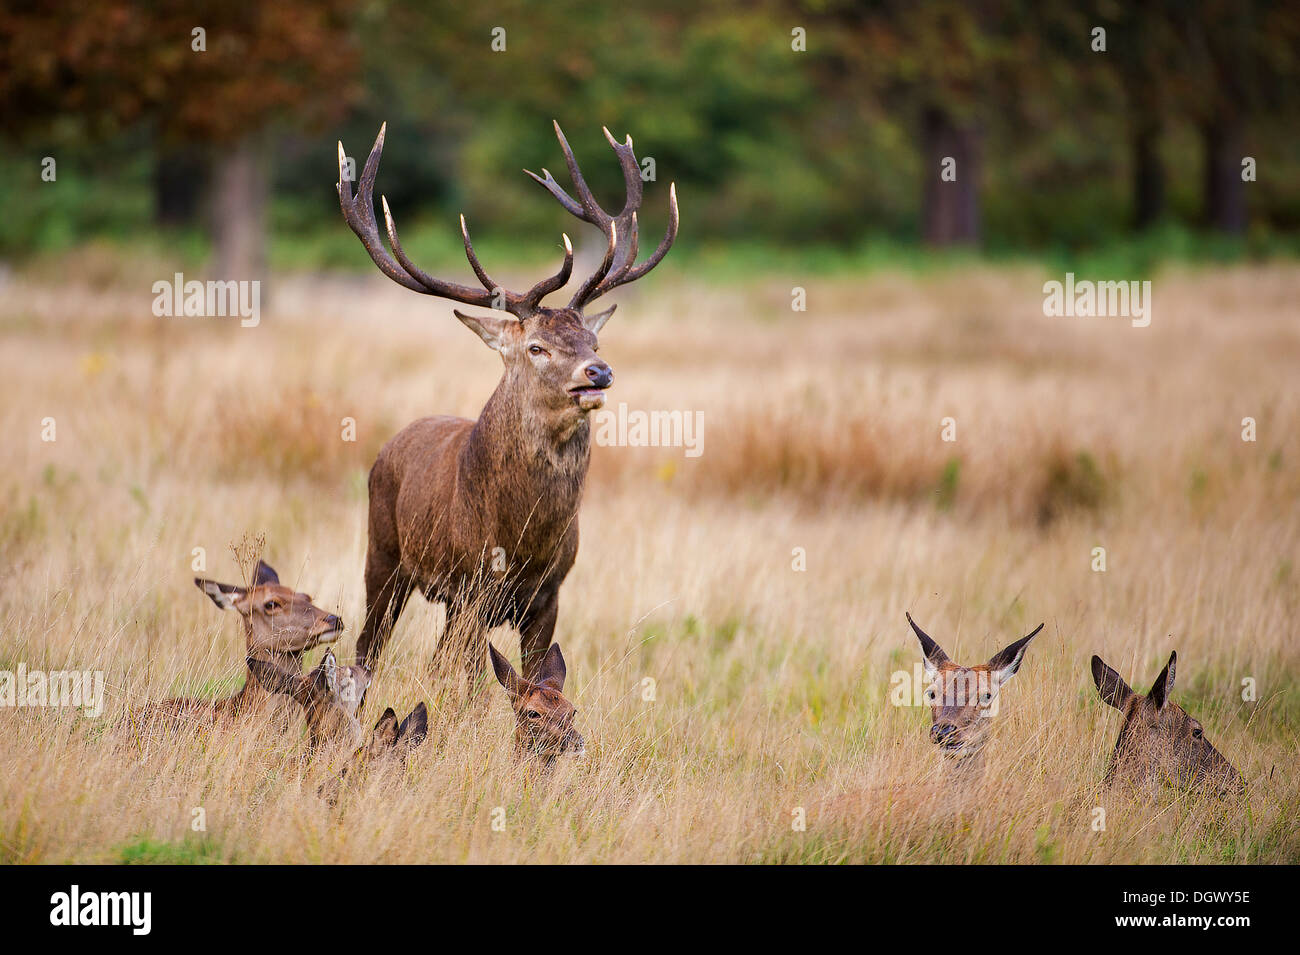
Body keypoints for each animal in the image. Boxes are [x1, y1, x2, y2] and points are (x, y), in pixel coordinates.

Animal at [336, 120, 678, 689]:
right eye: (536, 347)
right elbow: (473, 684)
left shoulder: (550, 593)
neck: (520, 541)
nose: (599, 373)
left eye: (594, 341)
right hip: (382, 551)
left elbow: (539, 681)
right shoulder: (470, 588)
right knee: (370, 643)